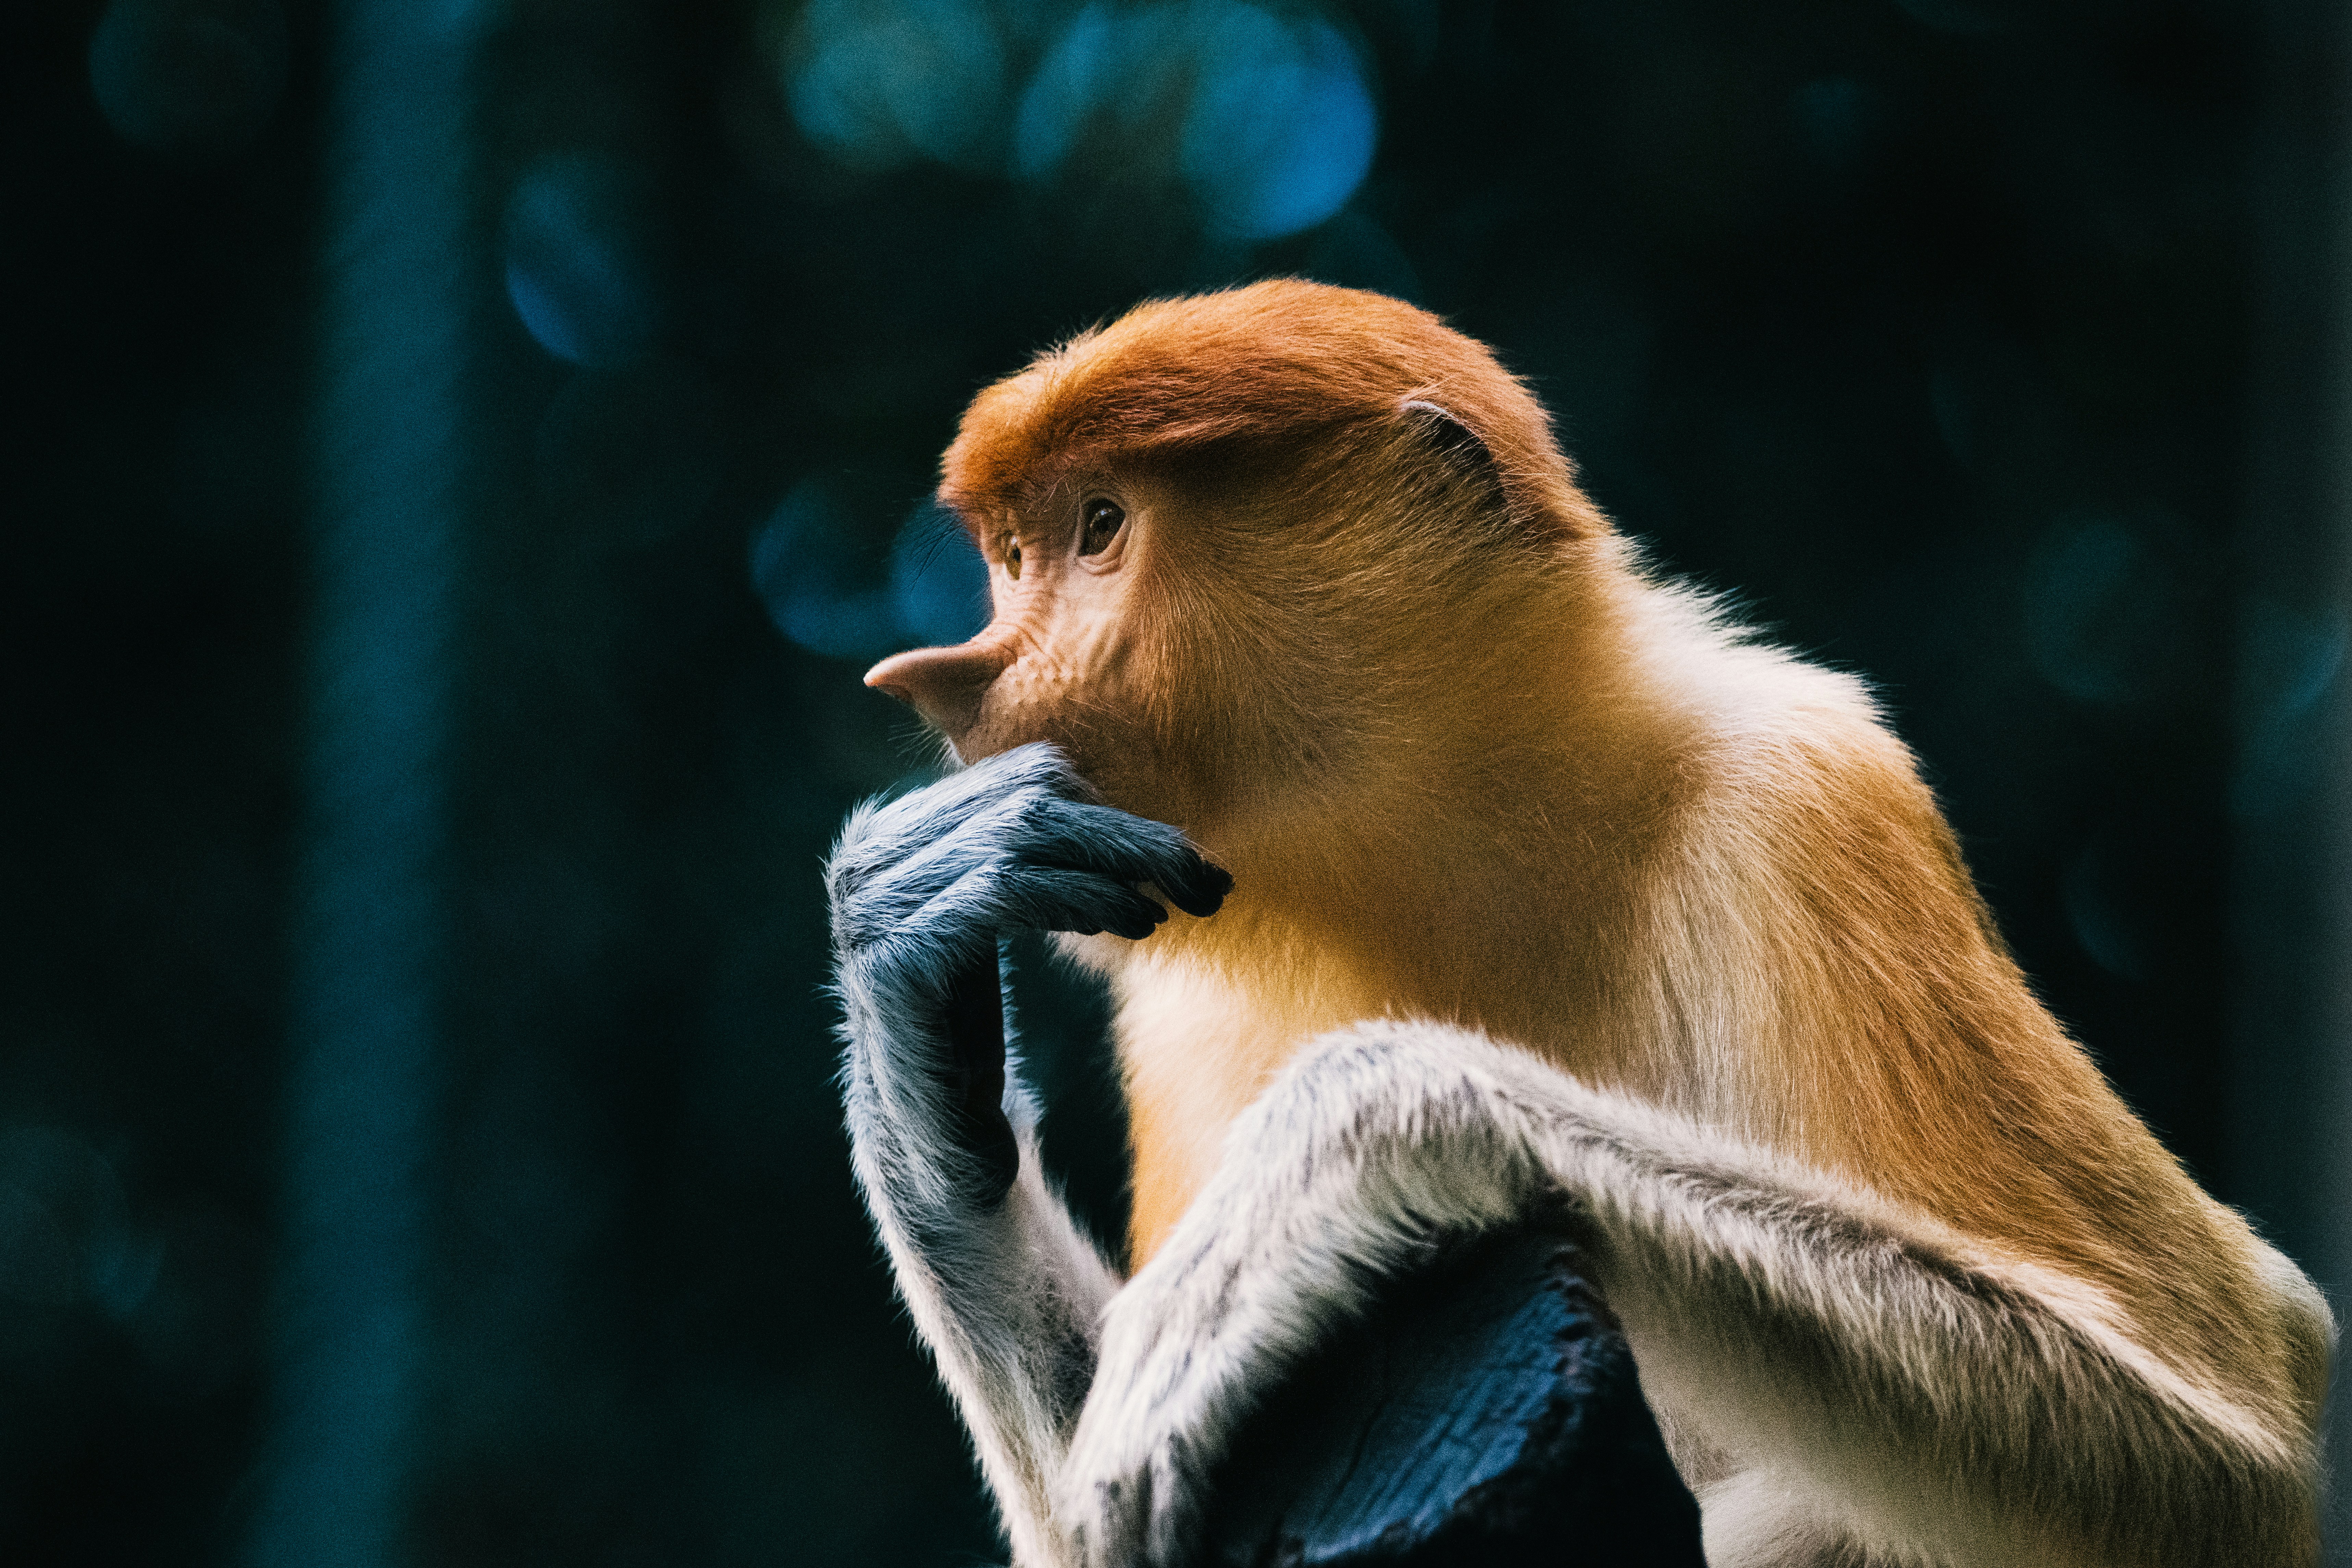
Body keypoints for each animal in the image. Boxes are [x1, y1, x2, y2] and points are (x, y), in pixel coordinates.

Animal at [826, 279, 2332, 1567]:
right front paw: (908, 932)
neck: (1462, 841)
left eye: (1097, 529)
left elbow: (2238, 1438)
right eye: (1008, 557)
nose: (959, 682)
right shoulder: (1176, 981)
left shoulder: (1807, 792)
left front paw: (1344, 1145)